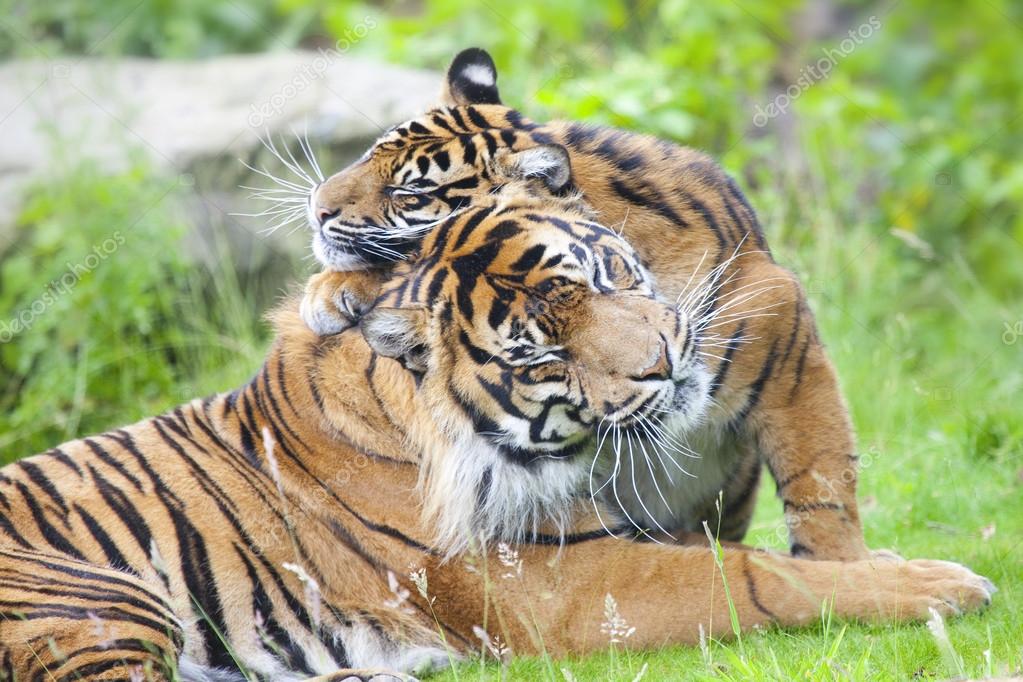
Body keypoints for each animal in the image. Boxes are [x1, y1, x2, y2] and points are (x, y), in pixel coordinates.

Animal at [0, 186, 995, 680]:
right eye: (541, 355)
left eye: (601, 275)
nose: (661, 366)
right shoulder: (557, 584)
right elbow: (753, 576)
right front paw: (942, 585)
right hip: (100, 599)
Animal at [299, 47, 877, 561]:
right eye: (368, 156)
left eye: (409, 193)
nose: (317, 209)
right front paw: (330, 290)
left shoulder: (779, 315)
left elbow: (821, 472)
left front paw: (839, 561)